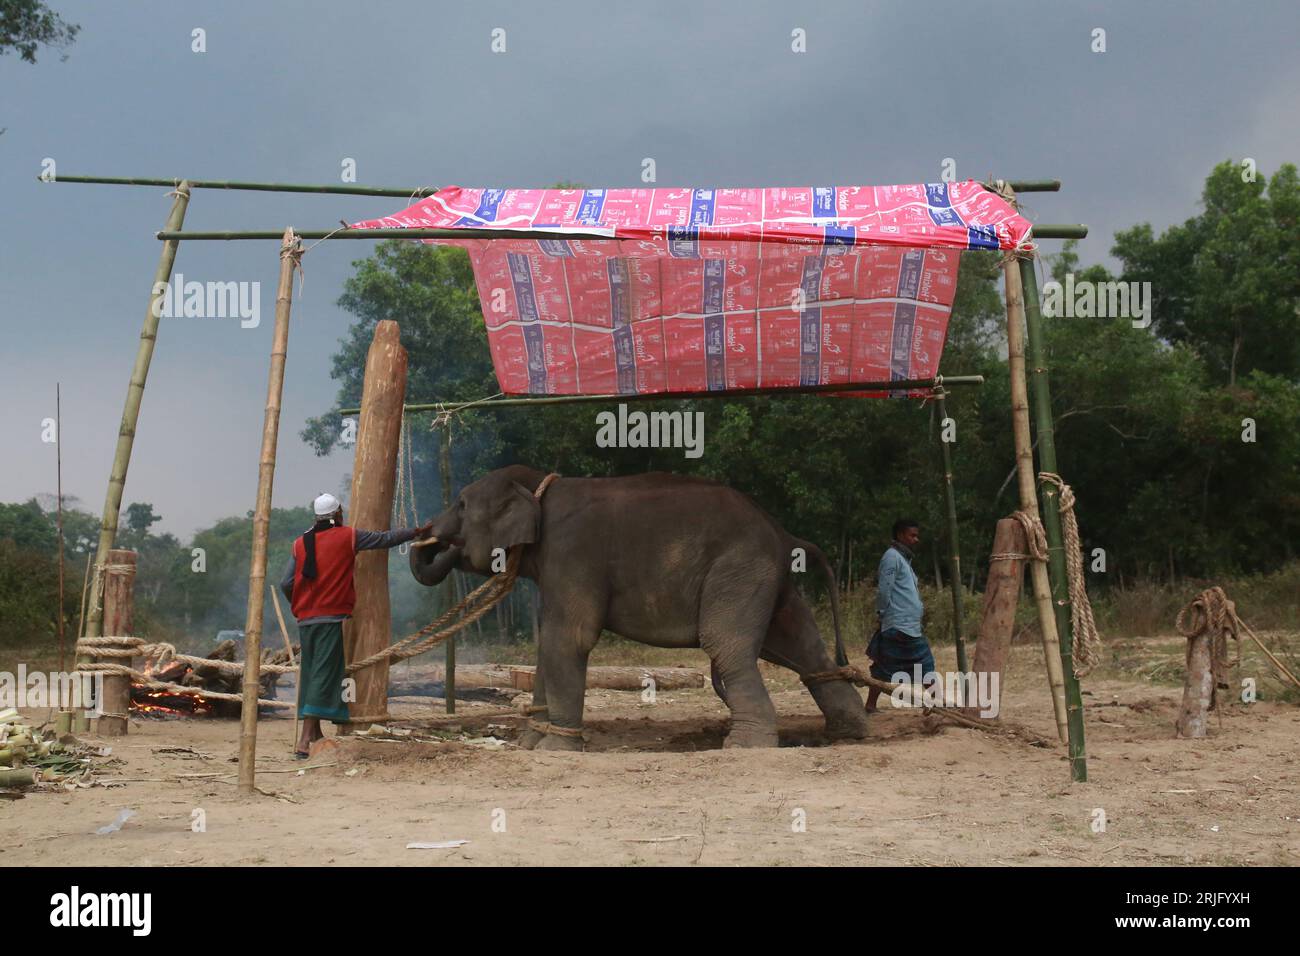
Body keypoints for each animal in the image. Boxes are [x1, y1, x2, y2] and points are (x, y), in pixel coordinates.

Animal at [410, 465, 869, 751]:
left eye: (461, 504)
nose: (428, 536)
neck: (539, 482)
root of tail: (783, 532)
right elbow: (549, 643)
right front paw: (530, 744)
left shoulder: (574, 553)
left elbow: (569, 639)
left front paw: (554, 747)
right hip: (768, 580)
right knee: (802, 648)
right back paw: (849, 734)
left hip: (740, 570)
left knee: (727, 647)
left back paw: (745, 746)